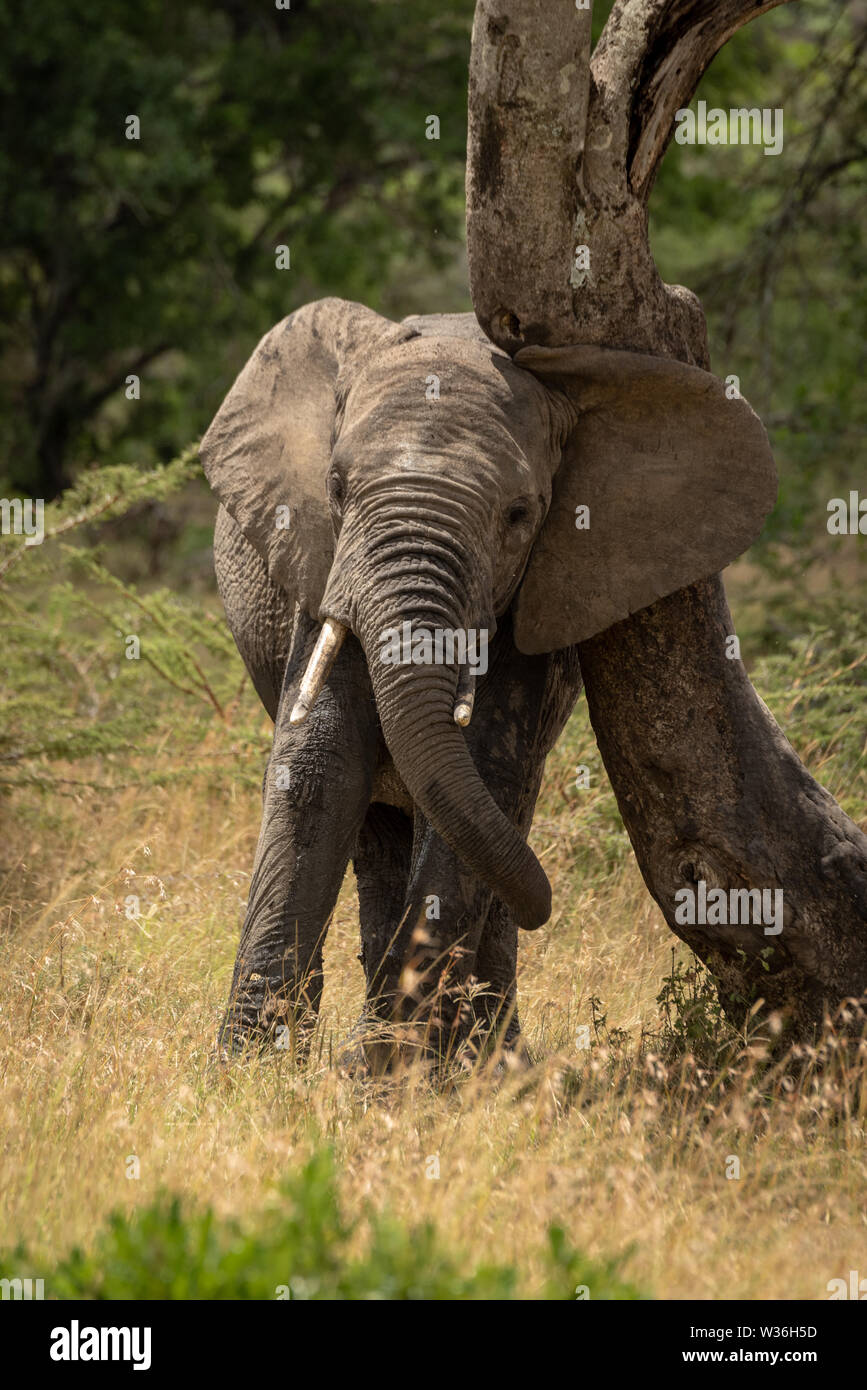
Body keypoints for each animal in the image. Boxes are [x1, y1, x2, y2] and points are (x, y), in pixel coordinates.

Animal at [201, 296, 776, 1065]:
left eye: (519, 515)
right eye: (336, 488)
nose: (549, 904)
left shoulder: (540, 586)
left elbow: (484, 769)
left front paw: (386, 1073)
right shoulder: (321, 568)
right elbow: (319, 759)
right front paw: (251, 1073)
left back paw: (486, 1058)